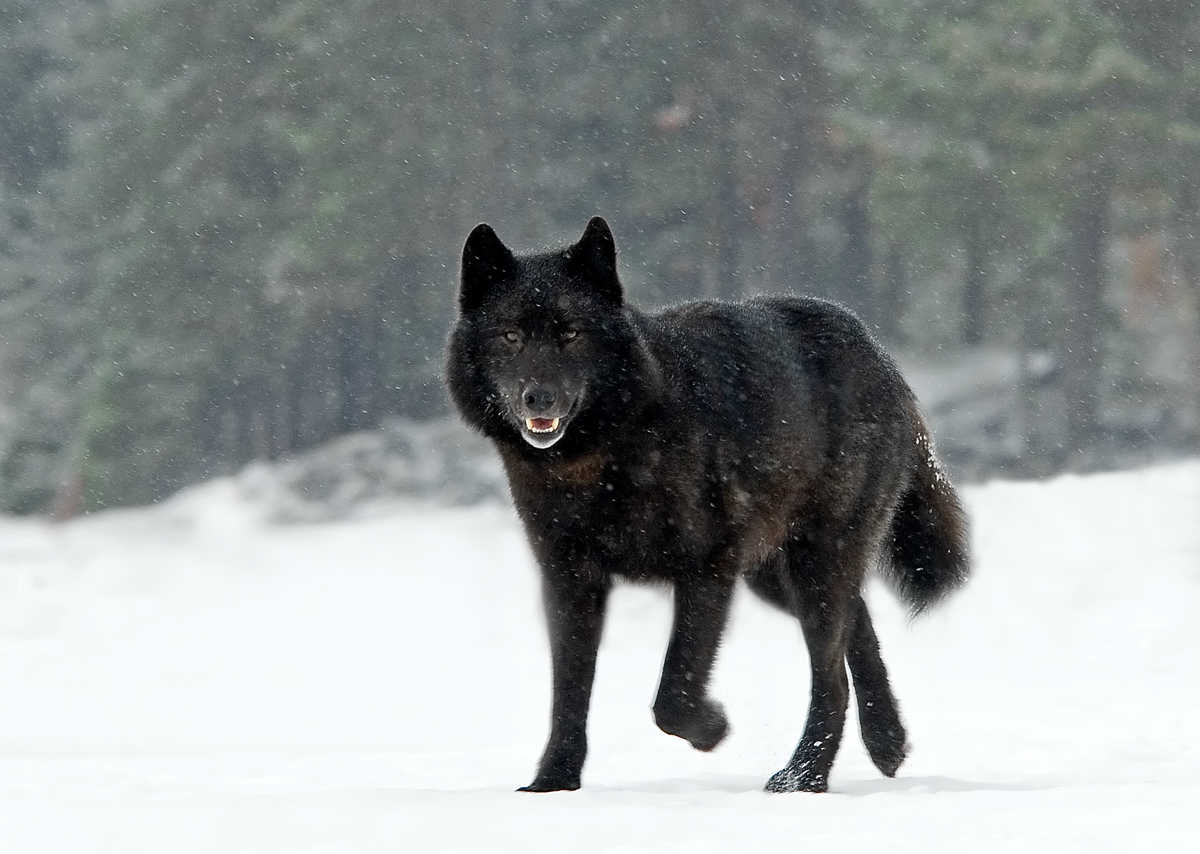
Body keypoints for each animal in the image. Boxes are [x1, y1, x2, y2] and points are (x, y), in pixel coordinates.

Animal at [445, 217, 969, 793]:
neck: (609, 454)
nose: (538, 397)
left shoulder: (706, 569)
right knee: (858, 626)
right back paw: (887, 744)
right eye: (511, 336)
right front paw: (553, 783)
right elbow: (569, 691)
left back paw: (802, 778)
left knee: (831, 673)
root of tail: (878, 351)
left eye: (571, 334)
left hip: (813, 567)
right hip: (776, 577)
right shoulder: (568, 578)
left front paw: (712, 728)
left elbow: (673, 694)